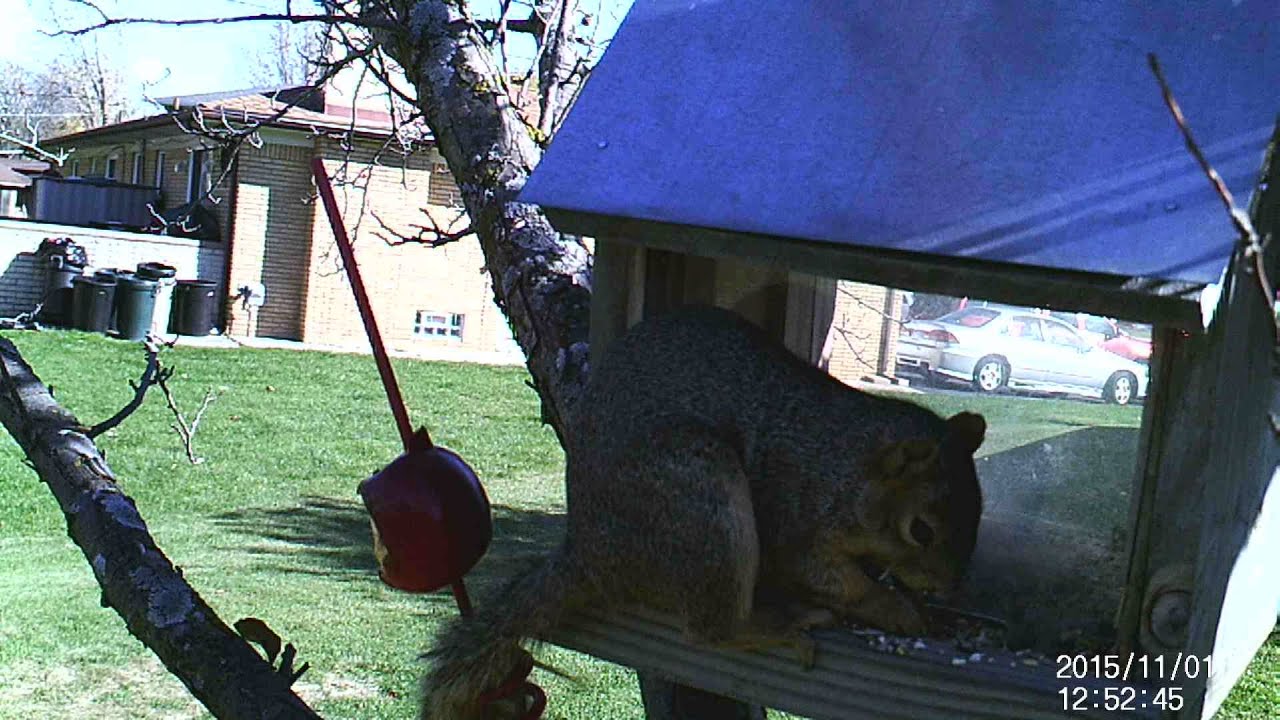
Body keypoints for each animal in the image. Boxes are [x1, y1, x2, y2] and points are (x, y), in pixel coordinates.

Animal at [420, 306, 986, 720]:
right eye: (921, 529)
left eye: (979, 512)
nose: (949, 588)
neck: (843, 465)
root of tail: (589, 556)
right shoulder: (795, 514)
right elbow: (828, 578)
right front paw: (897, 609)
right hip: (701, 498)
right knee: (712, 631)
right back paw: (781, 625)